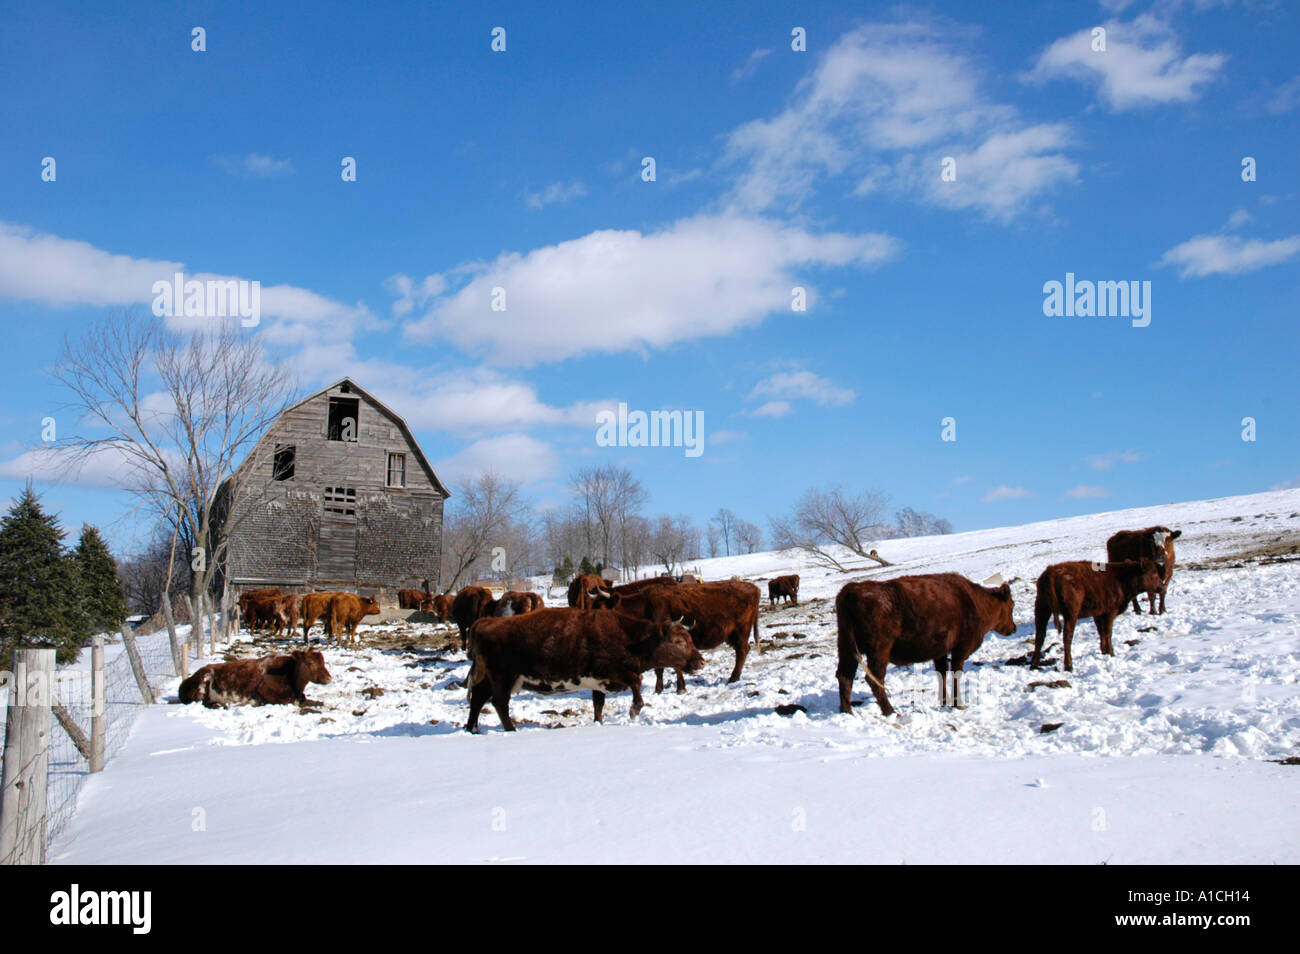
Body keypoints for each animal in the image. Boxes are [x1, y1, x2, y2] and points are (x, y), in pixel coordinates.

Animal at [178, 650, 332, 708]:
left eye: (323, 662)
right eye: (309, 663)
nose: (329, 678)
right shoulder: (264, 690)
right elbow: (290, 700)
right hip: (203, 684)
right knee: (203, 702)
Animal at [465, 607, 705, 732]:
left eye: (690, 638)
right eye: (678, 641)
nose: (701, 661)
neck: (630, 637)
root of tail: (485, 622)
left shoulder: (599, 682)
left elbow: (598, 705)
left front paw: (598, 723)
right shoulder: (612, 671)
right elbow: (636, 682)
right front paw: (634, 710)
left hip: (488, 679)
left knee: (477, 699)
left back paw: (472, 729)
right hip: (503, 678)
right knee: (499, 703)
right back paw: (511, 729)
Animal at [595, 580, 762, 693]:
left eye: (600, 607)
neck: (645, 606)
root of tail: (754, 587)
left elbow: (672, 666)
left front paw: (679, 688)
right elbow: (660, 668)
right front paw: (659, 689)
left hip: (741, 632)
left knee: (742, 651)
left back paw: (733, 678)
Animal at [836, 573, 1017, 716]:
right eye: (1011, 605)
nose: (1013, 628)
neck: (976, 602)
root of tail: (851, 589)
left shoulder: (941, 651)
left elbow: (942, 674)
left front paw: (944, 703)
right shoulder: (961, 648)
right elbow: (956, 674)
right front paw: (958, 705)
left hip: (846, 647)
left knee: (845, 676)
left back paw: (847, 711)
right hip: (879, 648)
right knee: (874, 679)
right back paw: (890, 712)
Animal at [1032, 559, 1164, 671]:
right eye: (1153, 573)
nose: (1162, 587)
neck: (1121, 578)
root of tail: (1052, 570)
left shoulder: (1098, 614)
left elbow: (1101, 632)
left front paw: (1104, 651)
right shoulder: (1110, 611)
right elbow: (1108, 632)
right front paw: (1111, 653)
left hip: (1042, 608)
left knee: (1040, 635)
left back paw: (1034, 665)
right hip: (1071, 613)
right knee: (1067, 637)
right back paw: (1069, 666)